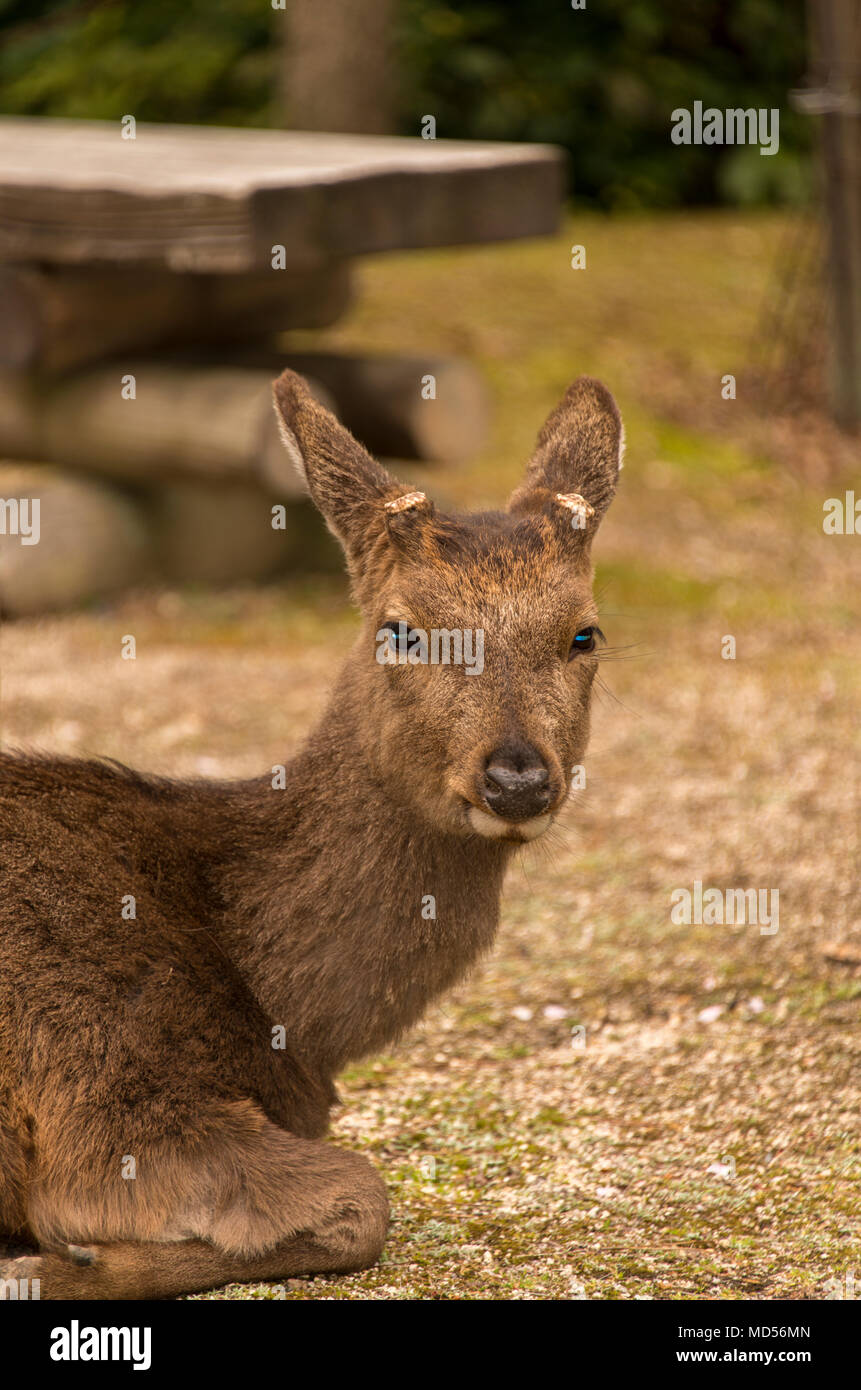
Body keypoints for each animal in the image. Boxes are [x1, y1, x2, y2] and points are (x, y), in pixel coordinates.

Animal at [0, 368, 623, 1299]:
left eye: (584, 632)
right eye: (399, 628)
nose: (516, 776)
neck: (289, 1018)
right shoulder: (104, 1092)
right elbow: (364, 1197)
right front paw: (60, 1260)